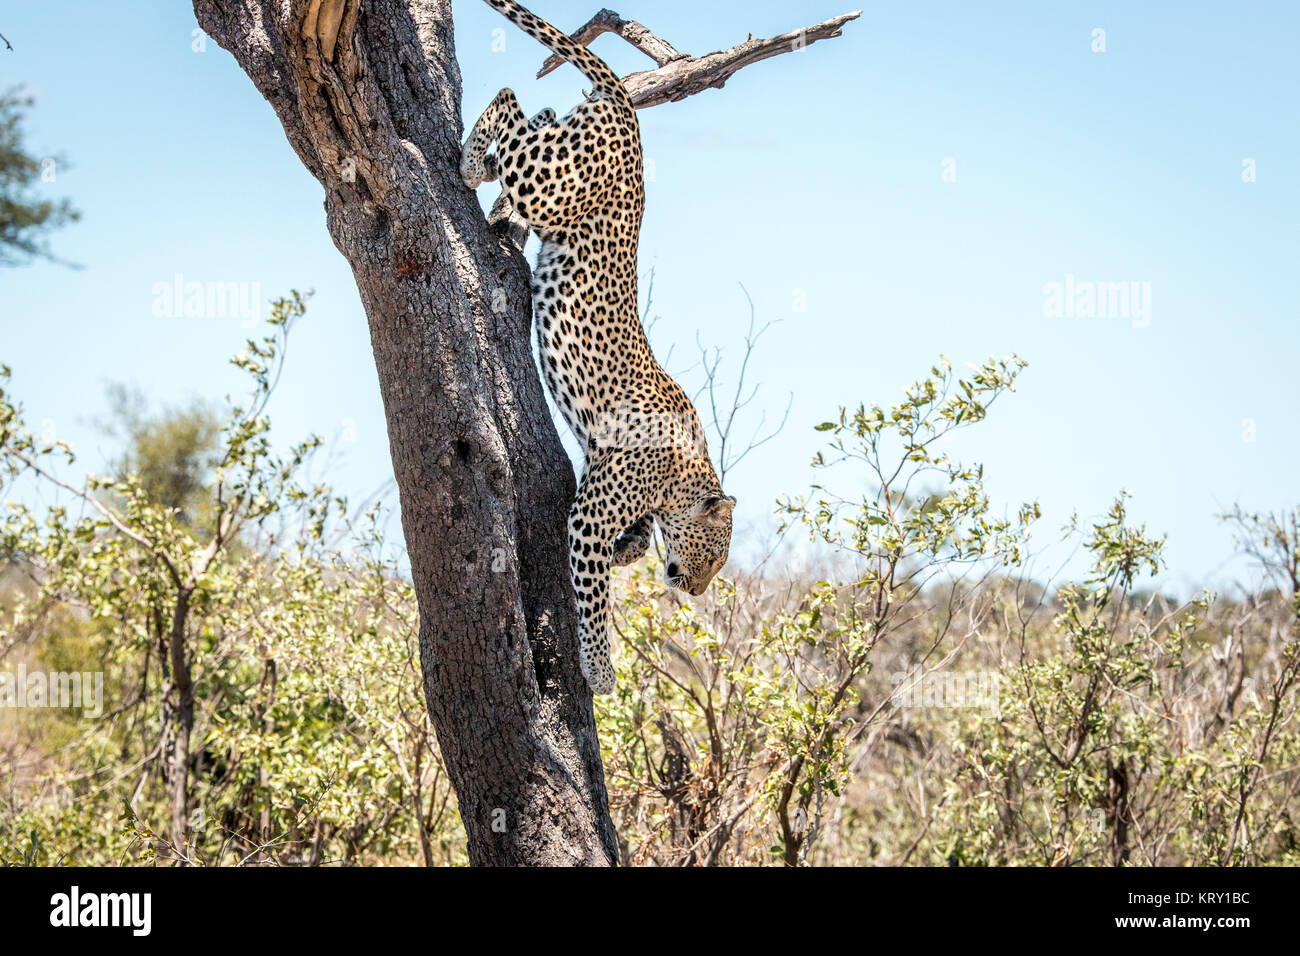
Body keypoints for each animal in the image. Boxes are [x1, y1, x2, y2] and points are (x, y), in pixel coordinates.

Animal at [461, 0, 735, 695]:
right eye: (715, 558)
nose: (694, 591)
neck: (684, 477)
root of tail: (628, 110)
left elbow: (629, 547)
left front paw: (634, 547)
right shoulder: (588, 517)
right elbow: (593, 598)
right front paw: (600, 671)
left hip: (554, 175)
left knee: (533, 119)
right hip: (551, 182)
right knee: (508, 104)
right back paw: (474, 160)